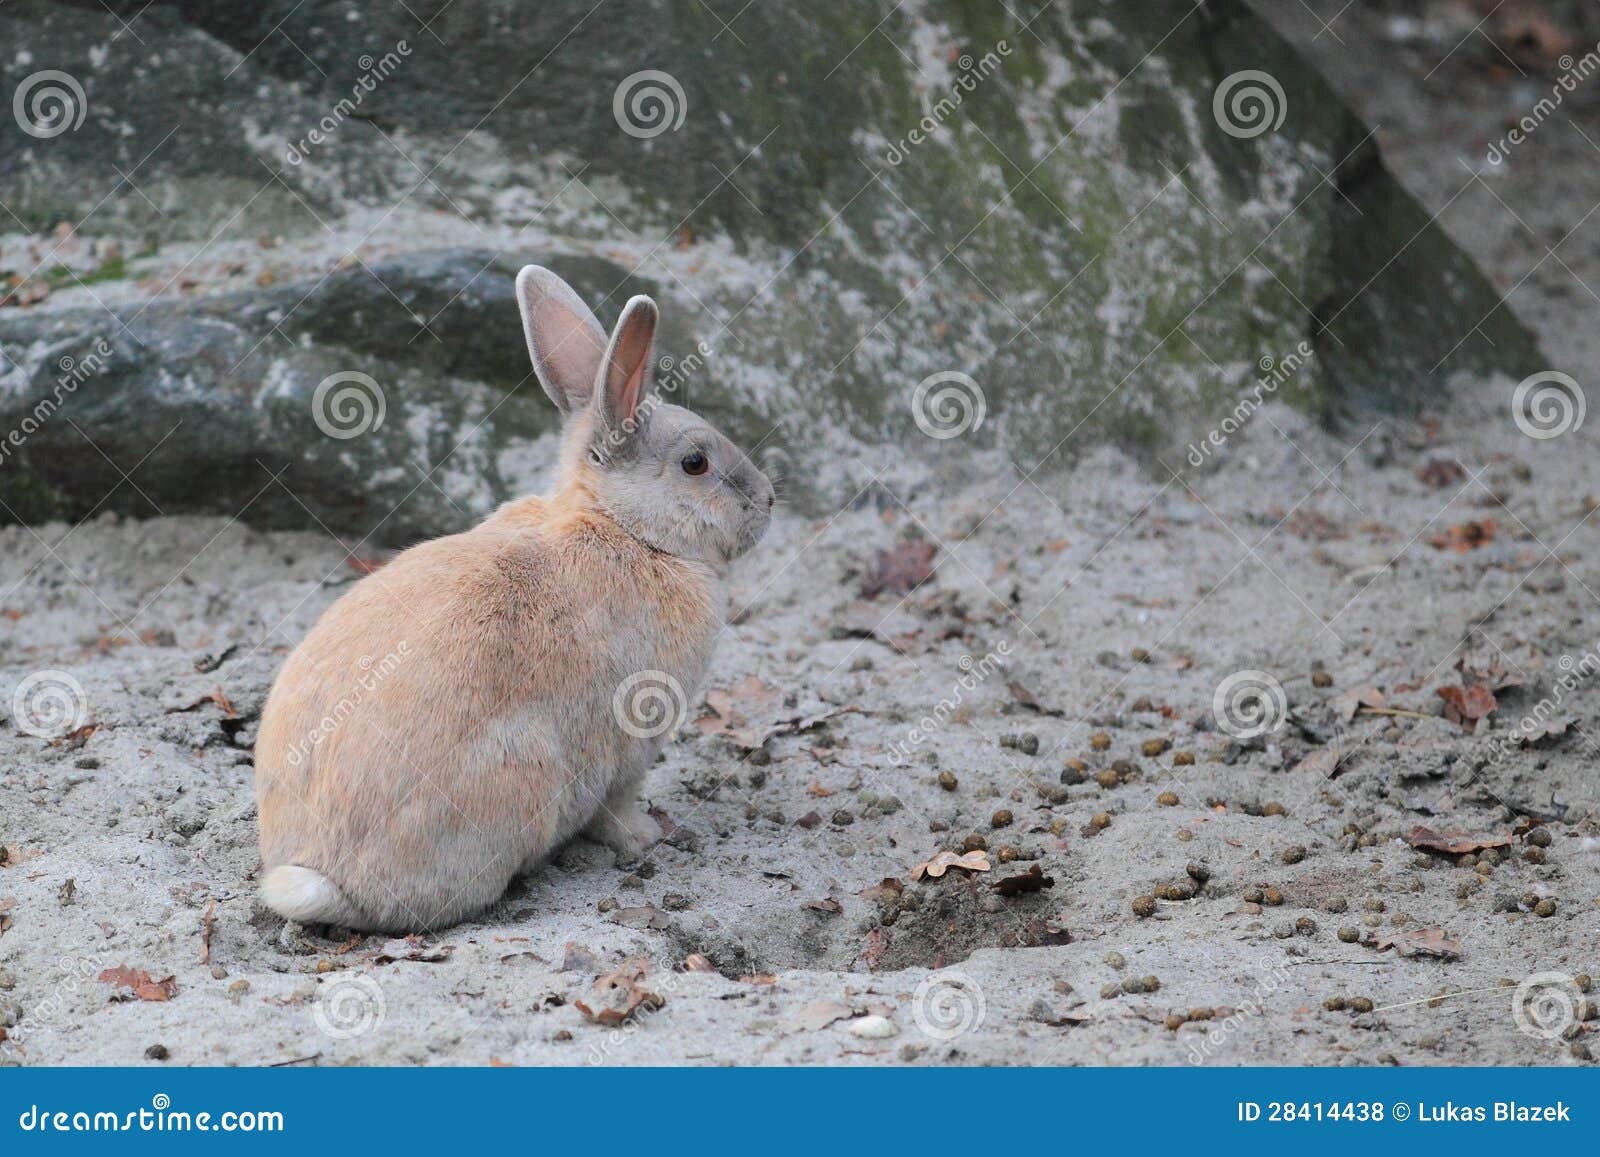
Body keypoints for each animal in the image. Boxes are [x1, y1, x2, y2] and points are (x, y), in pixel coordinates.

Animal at [254, 265, 774, 932]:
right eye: (695, 462)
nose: (768, 501)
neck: (625, 527)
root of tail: (329, 875)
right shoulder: (633, 742)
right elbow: (617, 807)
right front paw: (646, 837)